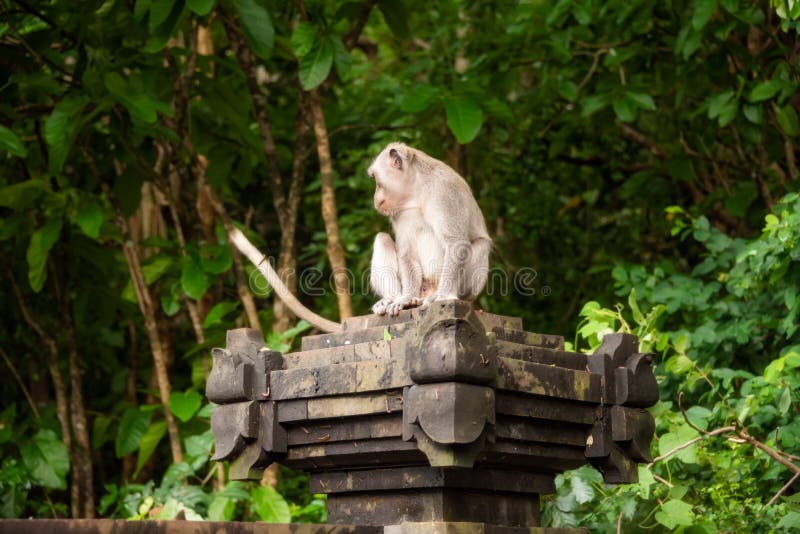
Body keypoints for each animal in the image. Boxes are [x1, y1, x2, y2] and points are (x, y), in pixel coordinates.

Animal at [367, 142, 492, 316]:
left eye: (376, 180)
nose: (375, 199)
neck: (417, 190)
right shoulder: (400, 212)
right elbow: (406, 252)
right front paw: (406, 298)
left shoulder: (445, 191)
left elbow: (456, 243)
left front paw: (443, 296)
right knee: (382, 239)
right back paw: (392, 298)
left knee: (482, 245)